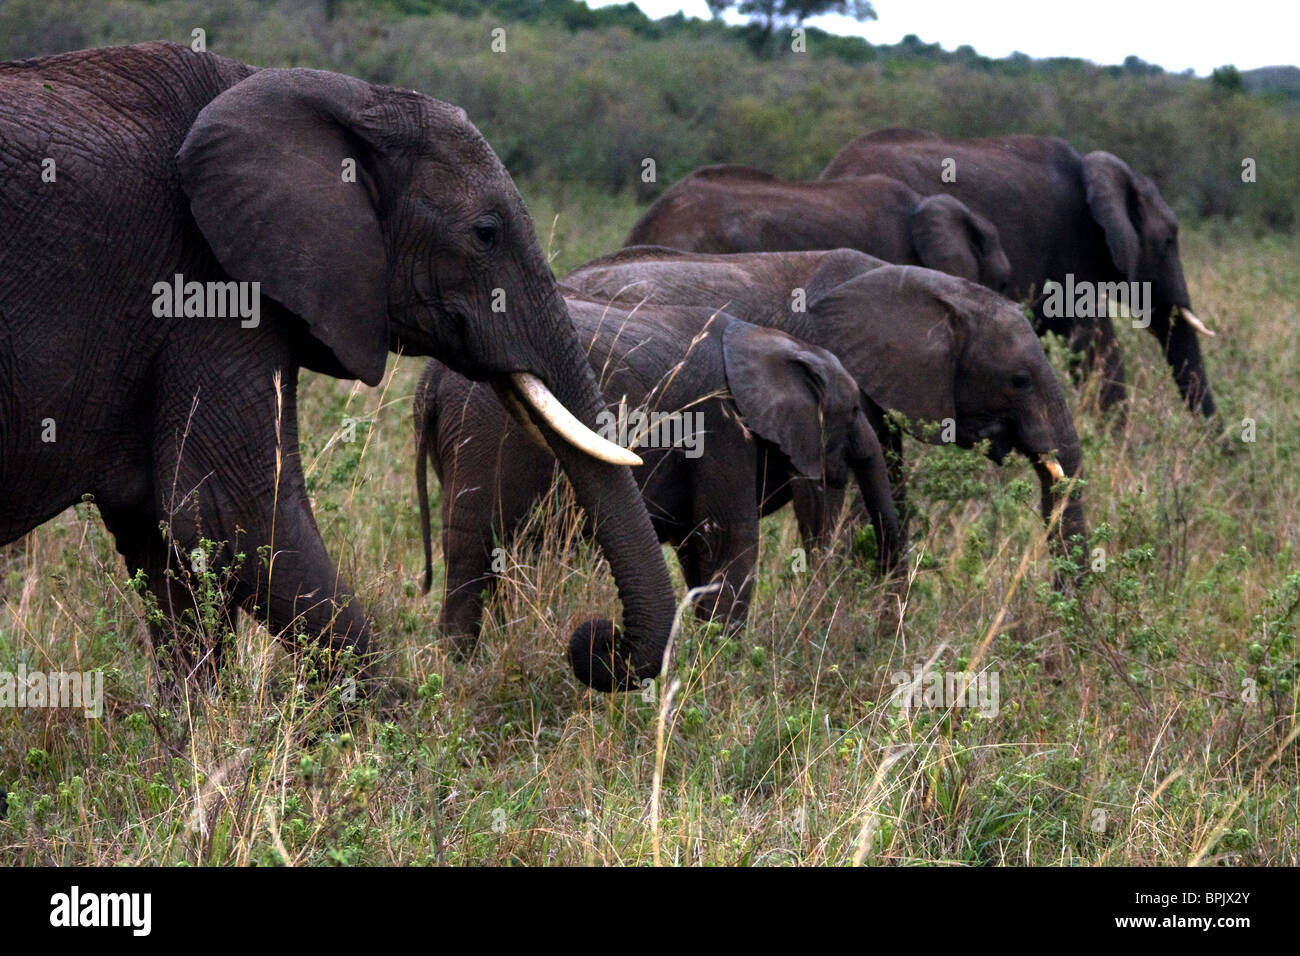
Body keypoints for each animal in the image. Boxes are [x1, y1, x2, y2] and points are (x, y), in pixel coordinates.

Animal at [0, 42, 676, 694]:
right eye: (485, 234)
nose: (594, 641)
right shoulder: (203, 283)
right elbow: (236, 516)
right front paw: (385, 720)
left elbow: (164, 537)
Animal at [414, 294, 901, 645]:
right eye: (854, 409)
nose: (883, 631)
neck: (775, 344)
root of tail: (430, 380)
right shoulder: (719, 429)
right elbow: (728, 541)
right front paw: (727, 660)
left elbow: (697, 551)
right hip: (483, 429)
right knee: (475, 548)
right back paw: (461, 664)